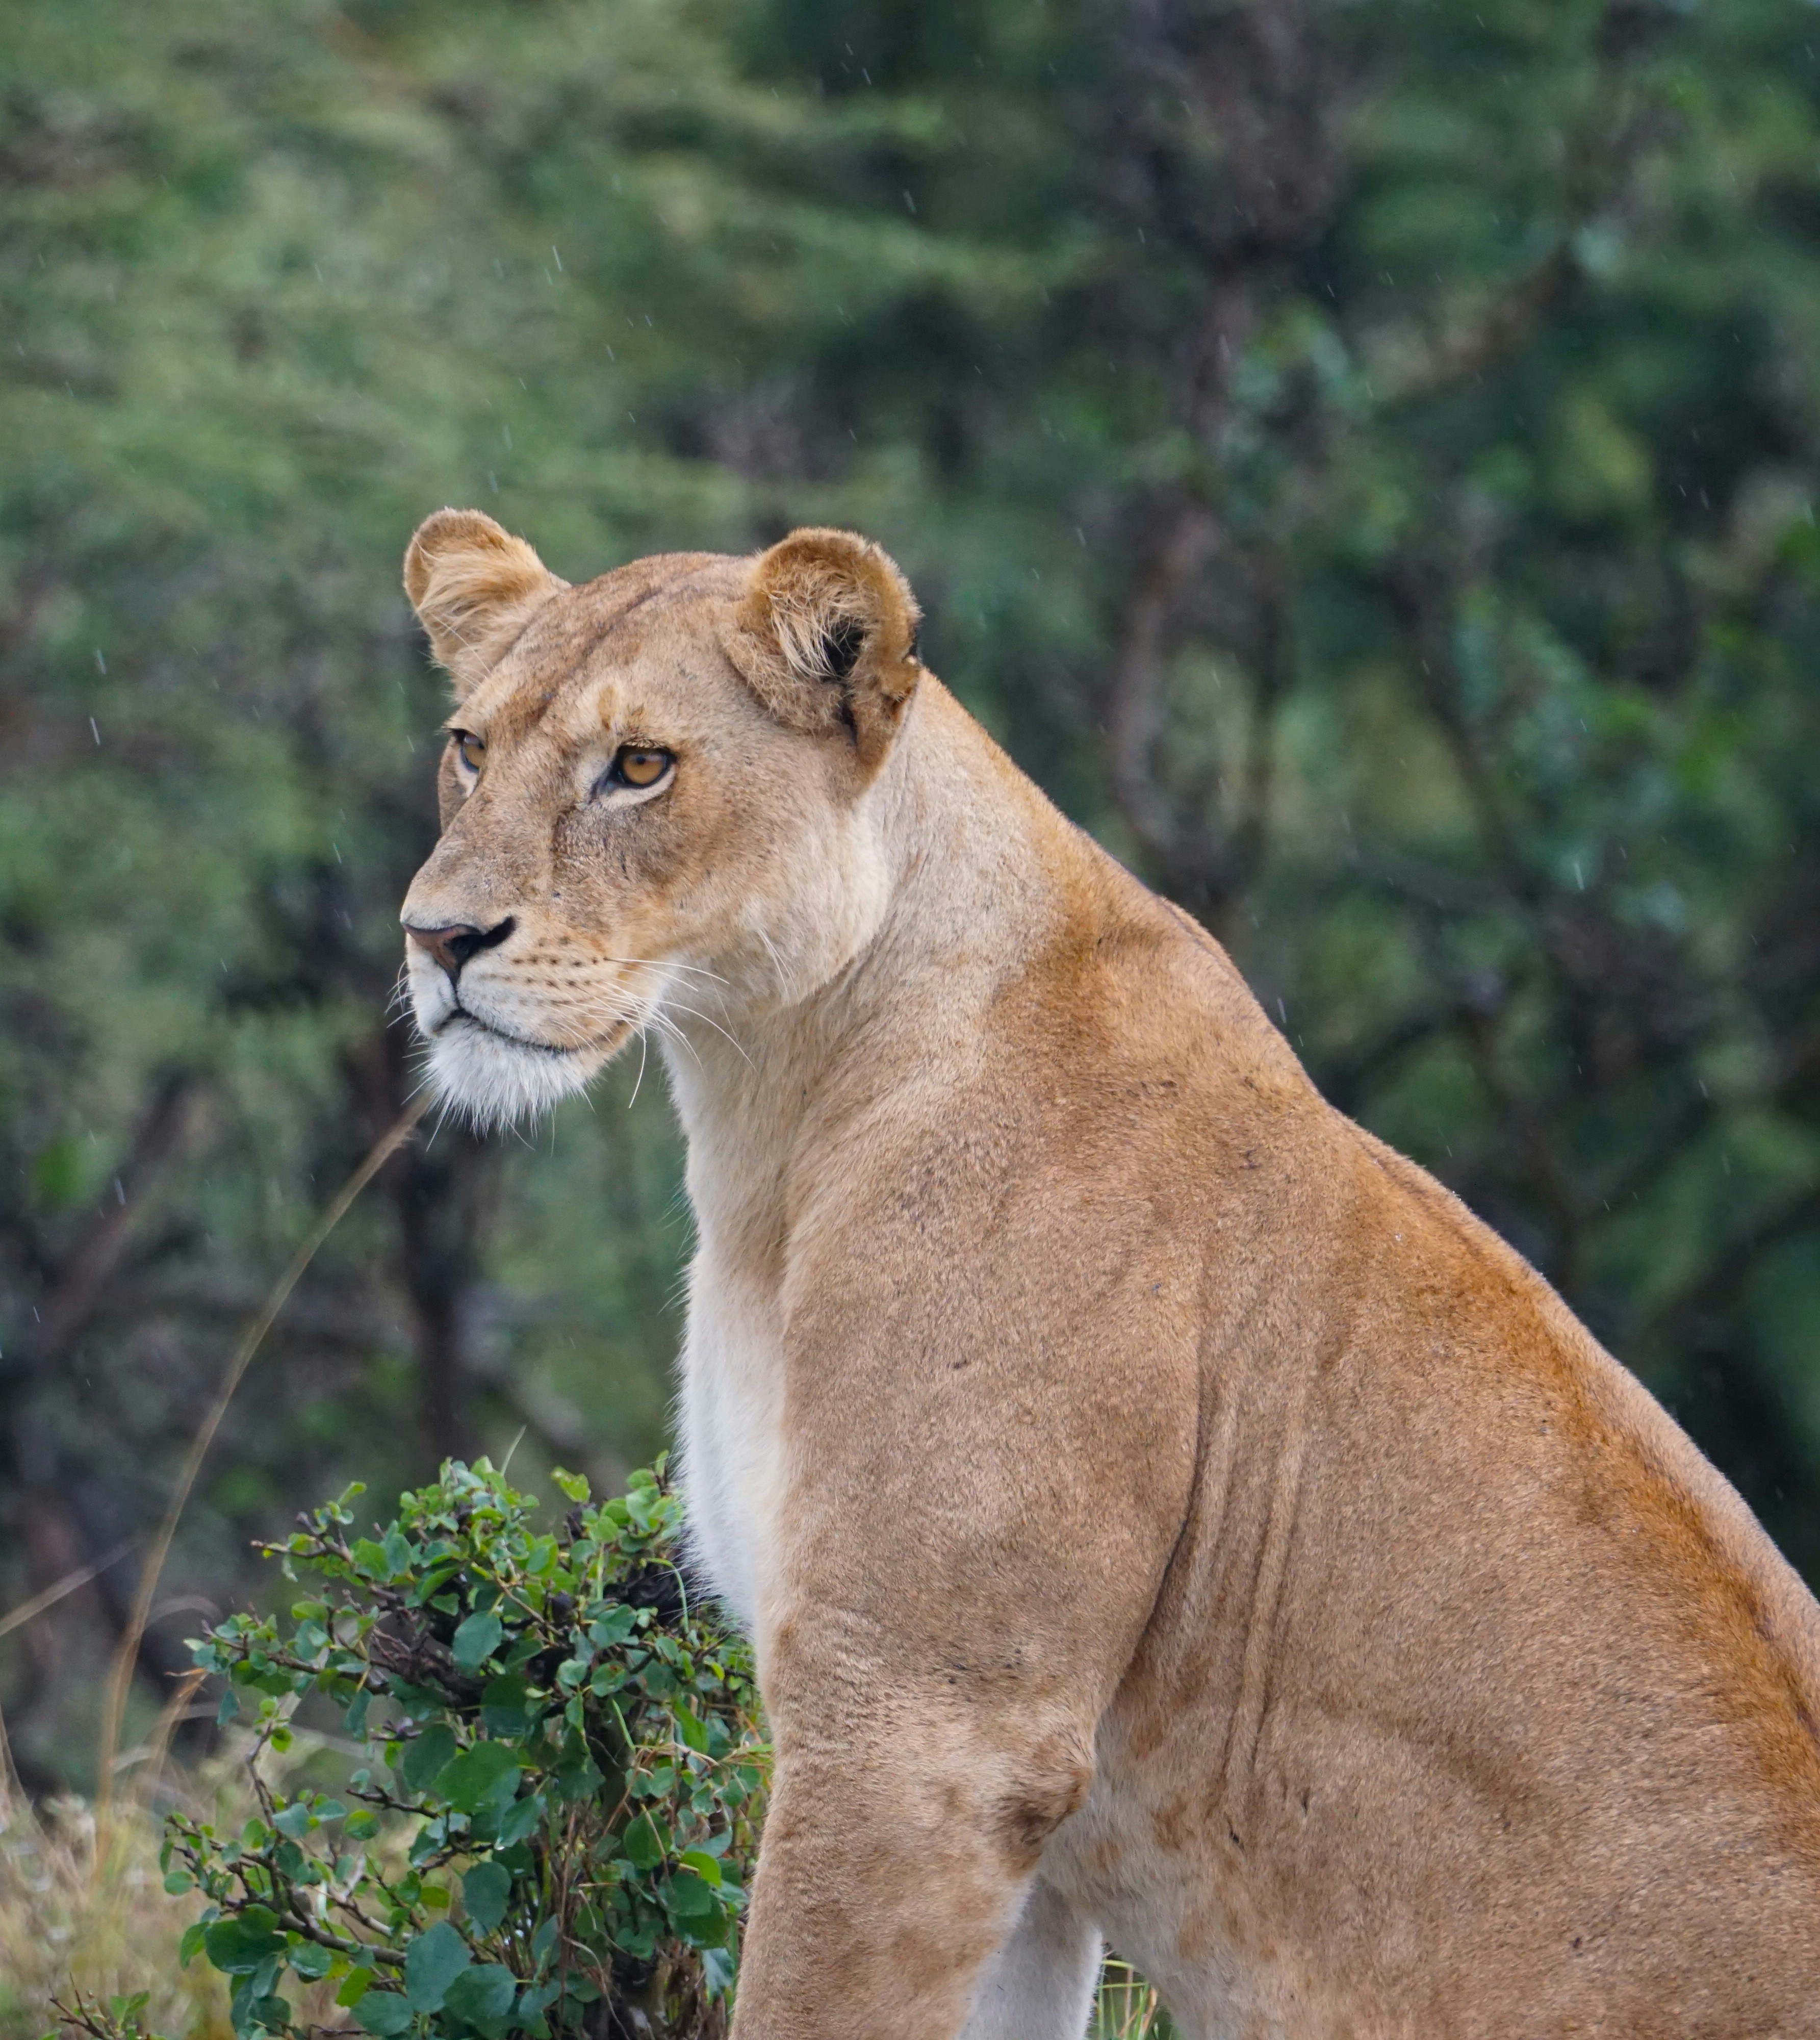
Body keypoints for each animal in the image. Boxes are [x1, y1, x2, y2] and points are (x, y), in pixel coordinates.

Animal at [399, 509, 1820, 2039]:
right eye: (469, 746)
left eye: (639, 767)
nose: (438, 940)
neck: (771, 1112)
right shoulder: (1013, 1810)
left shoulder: (926, 1732)